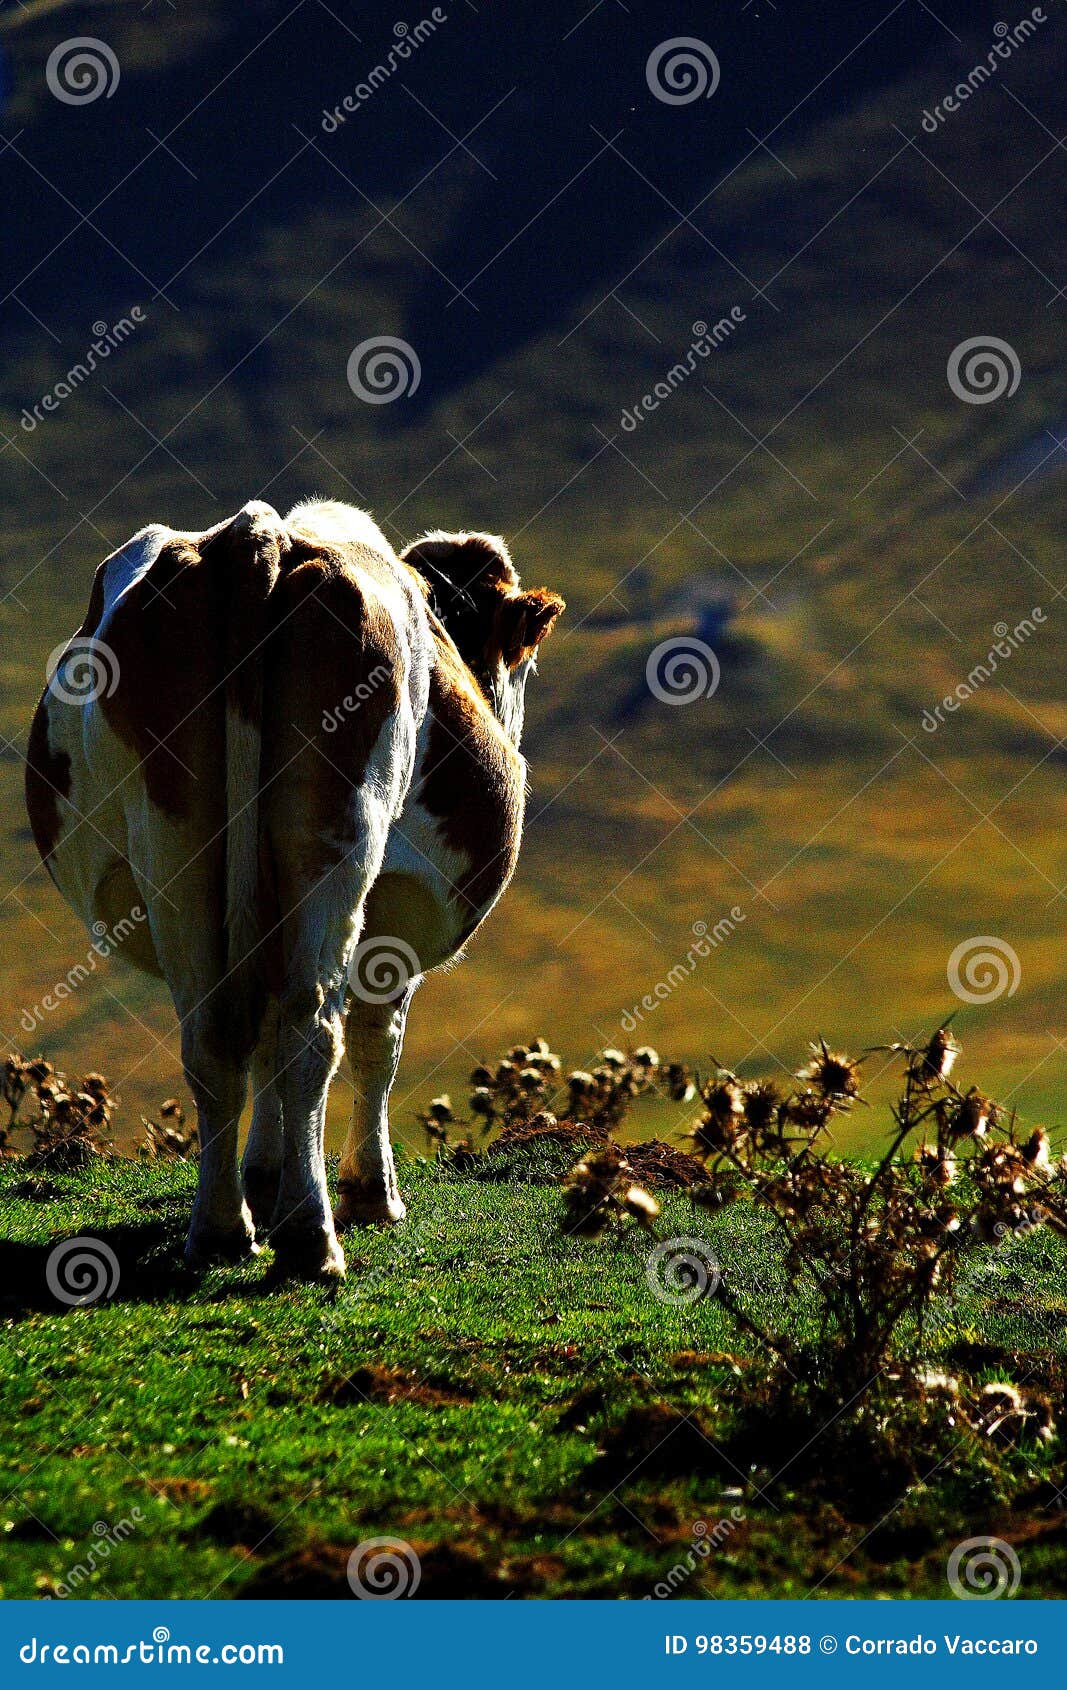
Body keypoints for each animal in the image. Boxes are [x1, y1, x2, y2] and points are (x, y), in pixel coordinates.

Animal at [25, 499, 564, 1281]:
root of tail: (260, 537)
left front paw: (265, 1175)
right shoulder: (391, 917)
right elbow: (376, 1043)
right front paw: (370, 1193)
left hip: (173, 841)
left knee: (218, 1035)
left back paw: (223, 1228)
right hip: (341, 834)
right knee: (312, 1030)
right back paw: (312, 1237)